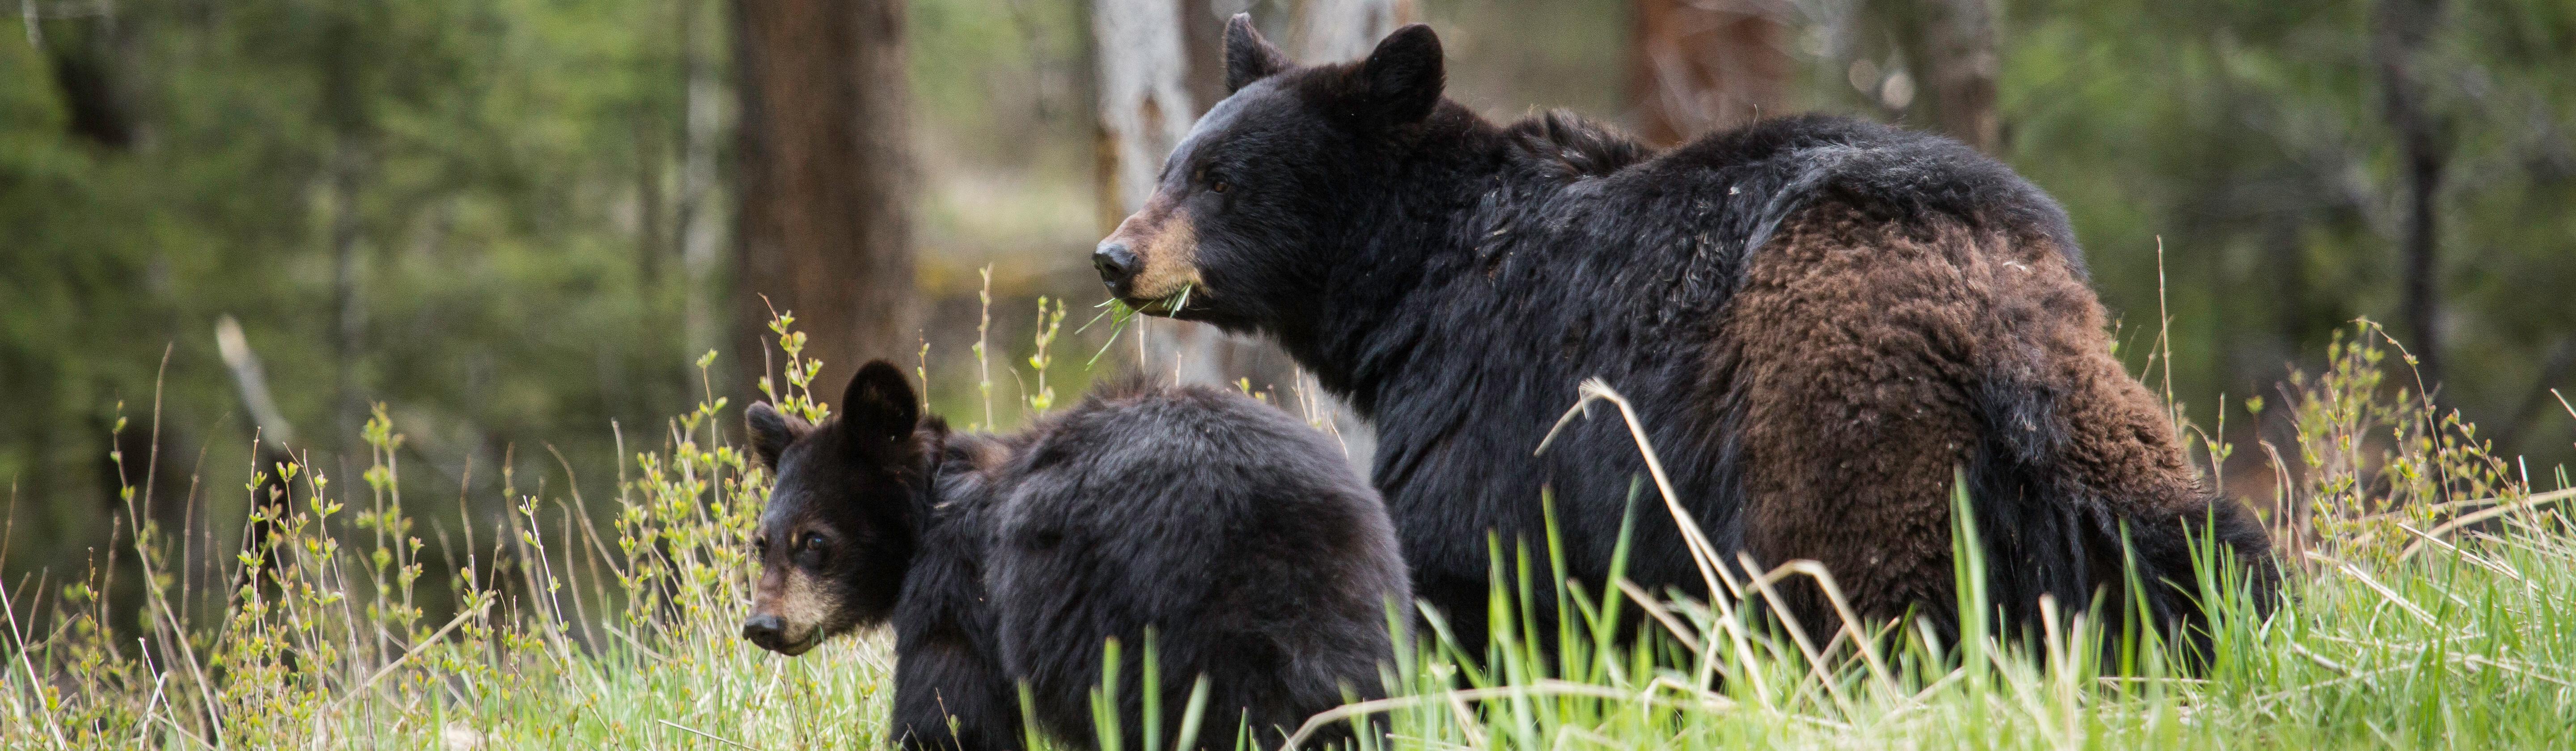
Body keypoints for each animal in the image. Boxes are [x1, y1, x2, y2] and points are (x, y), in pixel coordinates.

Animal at [738, 360, 1409, 751]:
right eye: (762, 541)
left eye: (815, 540)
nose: (762, 624)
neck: (936, 502)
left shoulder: (960, 591)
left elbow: (948, 711)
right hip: (1360, 612)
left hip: (1153, 623)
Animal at [1089, 15, 2276, 656]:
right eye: (1171, 165)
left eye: (1221, 179)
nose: (1114, 256)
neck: (1417, 281)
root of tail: (1983, 299)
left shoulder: (1493, 395)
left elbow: (1464, 562)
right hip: (2093, 423)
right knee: (2189, 541)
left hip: (1837, 425)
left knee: (1860, 593)